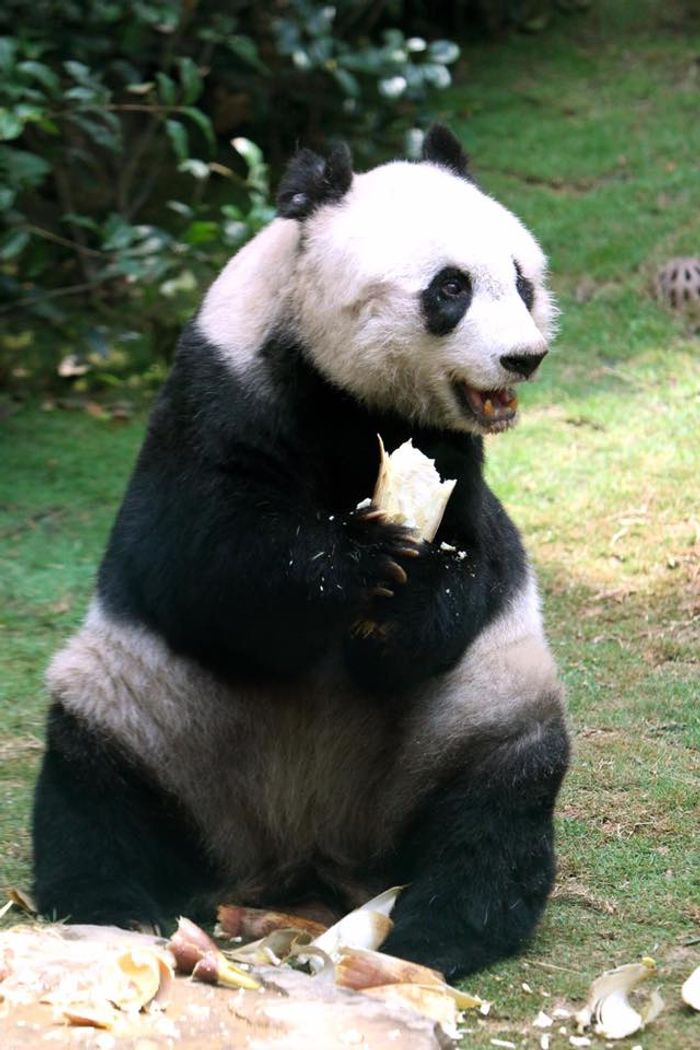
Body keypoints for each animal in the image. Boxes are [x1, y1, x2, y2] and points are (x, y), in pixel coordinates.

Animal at [32, 126, 569, 979]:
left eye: (520, 281)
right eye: (450, 288)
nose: (524, 357)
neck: (346, 398)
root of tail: (300, 852)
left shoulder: (457, 457)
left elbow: (474, 564)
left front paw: (405, 599)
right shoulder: (219, 393)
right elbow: (202, 560)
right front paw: (360, 557)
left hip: (477, 706)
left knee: (496, 799)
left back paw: (436, 931)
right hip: (152, 711)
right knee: (94, 791)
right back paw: (113, 906)